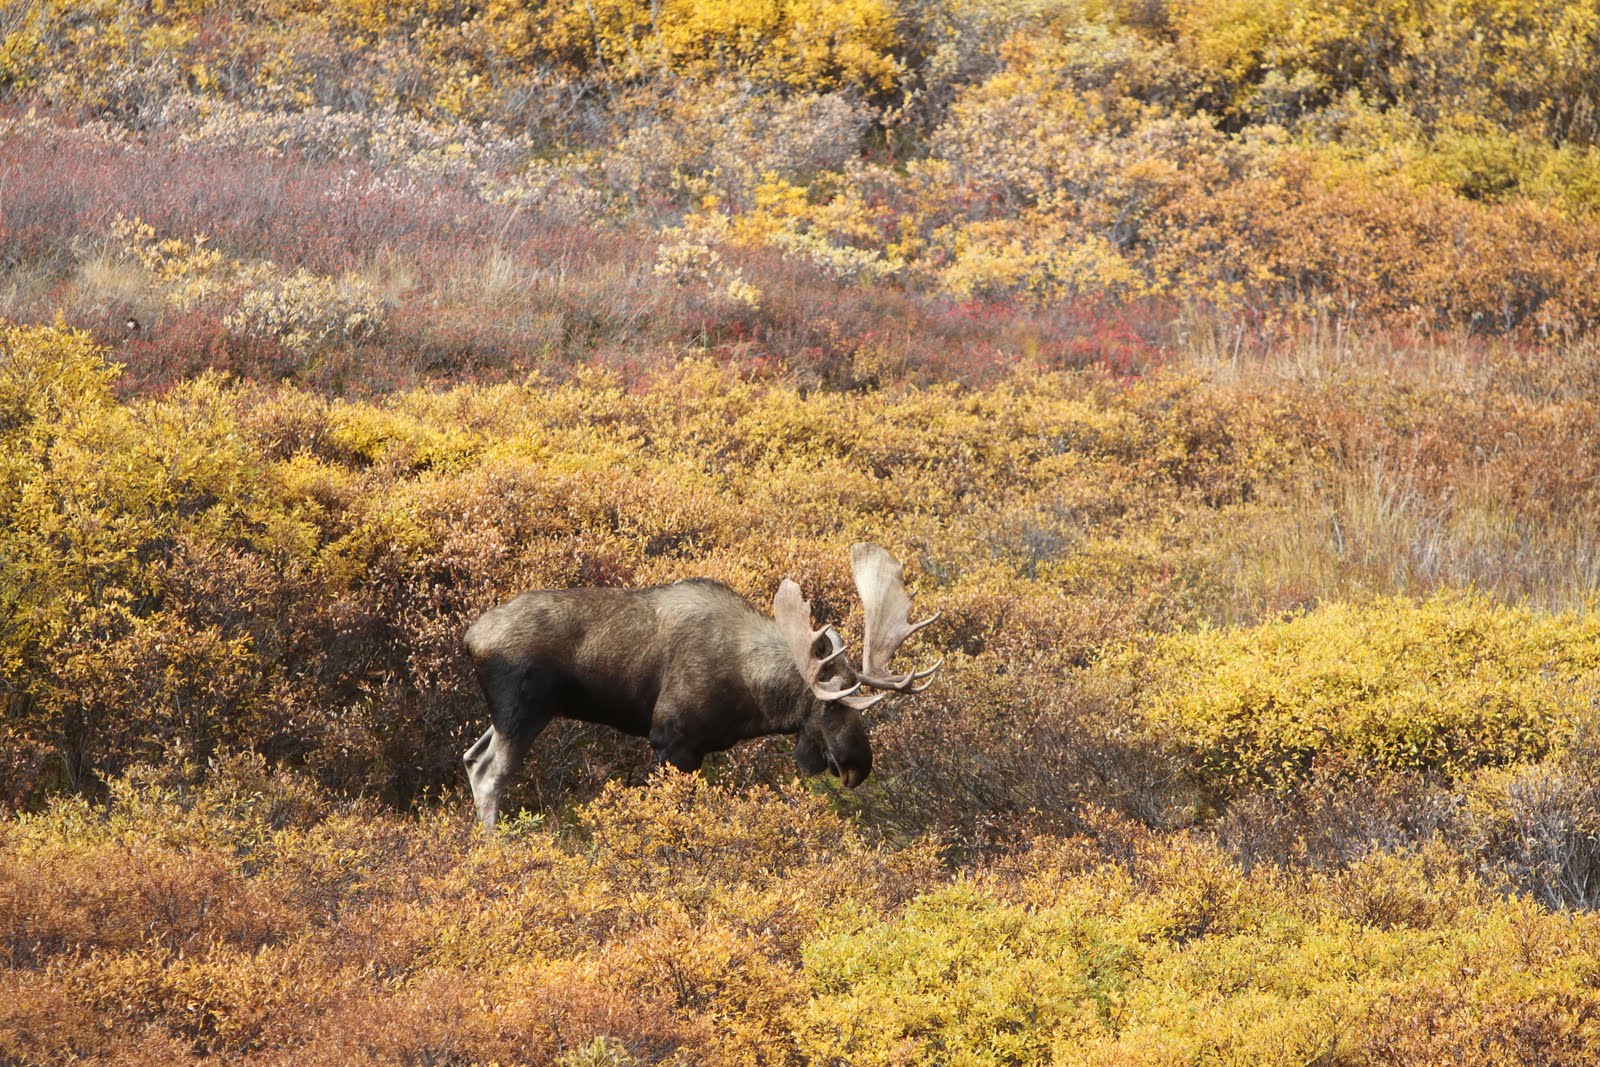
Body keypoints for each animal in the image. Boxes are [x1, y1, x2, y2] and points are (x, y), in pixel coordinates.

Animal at [461, 543, 941, 830]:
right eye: (833, 706)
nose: (859, 765)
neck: (752, 695)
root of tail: (470, 639)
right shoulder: (671, 739)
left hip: (506, 716)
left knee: (470, 756)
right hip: (522, 710)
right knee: (489, 772)